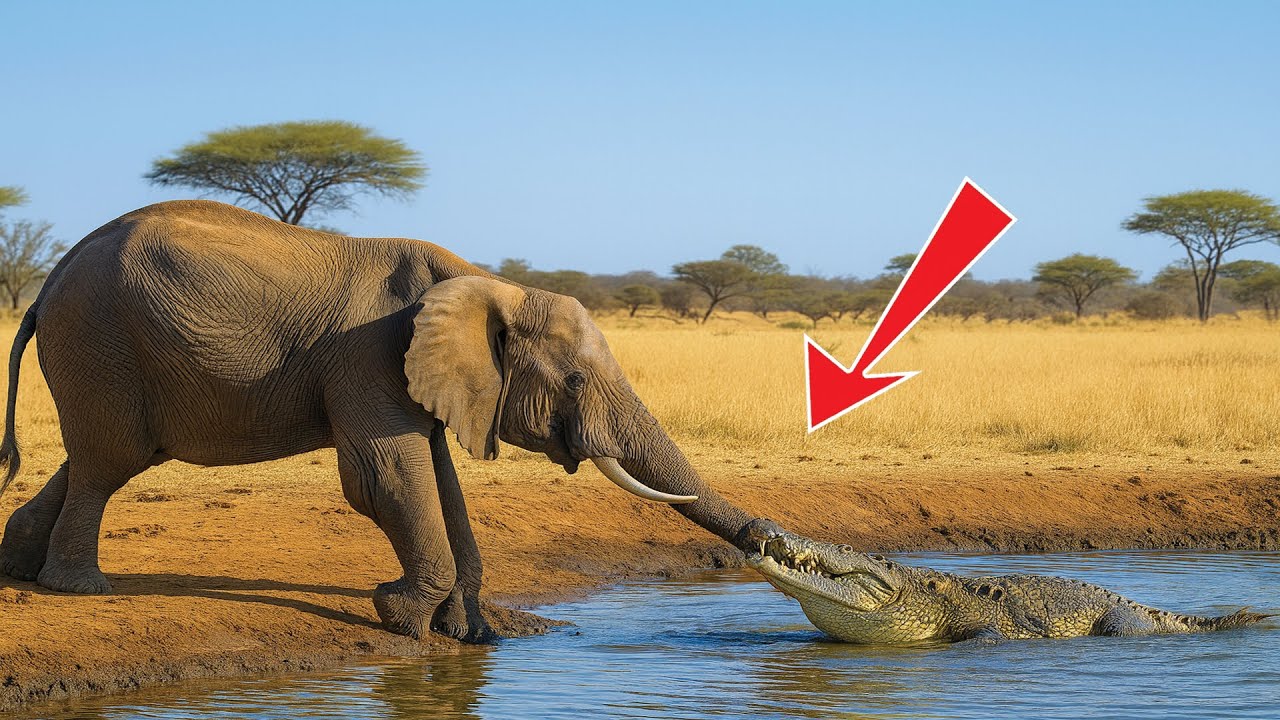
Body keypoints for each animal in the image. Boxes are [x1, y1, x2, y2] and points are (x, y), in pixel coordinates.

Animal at [0, 200, 779, 642]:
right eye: (576, 381)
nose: (771, 541)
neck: (487, 284)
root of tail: (49, 280)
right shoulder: (368, 355)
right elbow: (385, 479)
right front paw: (401, 616)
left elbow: (439, 479)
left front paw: (470, 632)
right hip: (98, 340)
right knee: (108, 462)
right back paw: (79, 588)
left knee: (94, 458)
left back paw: (20, 568)